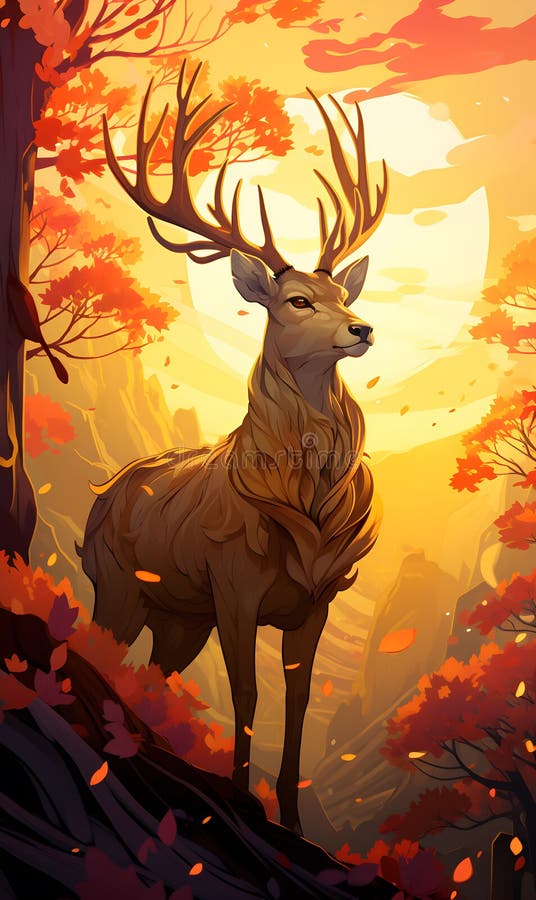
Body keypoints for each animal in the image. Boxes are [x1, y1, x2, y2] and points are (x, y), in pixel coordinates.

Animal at [80, 61, 388, 835]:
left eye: (342, 293)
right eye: (297, 301)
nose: (362, 328)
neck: (303, 512)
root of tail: (99, 503)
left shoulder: (317, 599)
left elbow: (297, 704)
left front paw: (294, 821)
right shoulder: (234, 585)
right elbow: (247, 694)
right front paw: (243, 797)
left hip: (177, 617)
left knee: (151, 672)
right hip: (117, 586)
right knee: (99, 648)